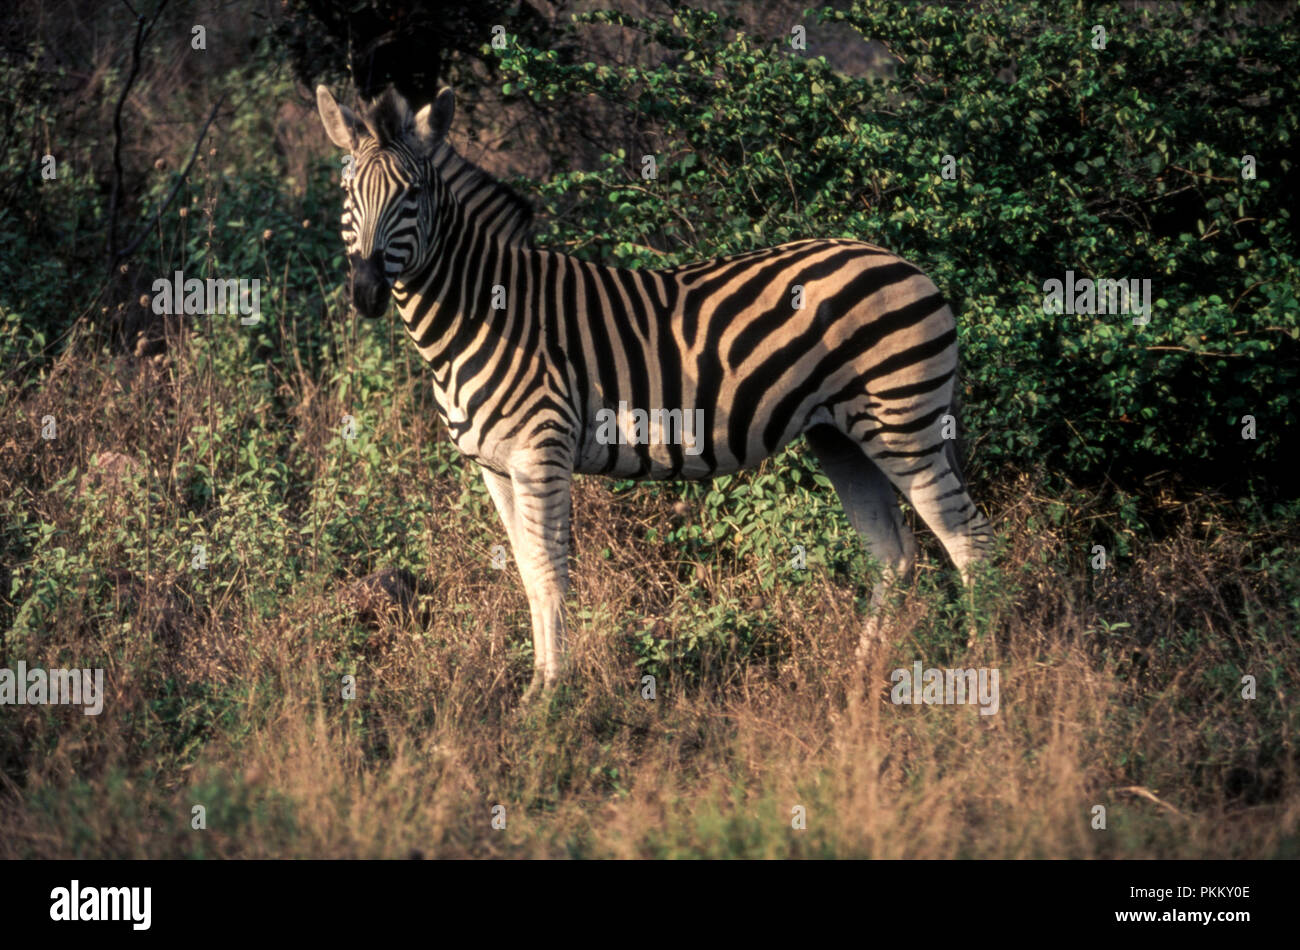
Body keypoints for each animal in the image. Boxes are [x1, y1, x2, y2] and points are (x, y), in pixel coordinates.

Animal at [316, 84, 994, 692]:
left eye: (412, 194)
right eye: (348, 194)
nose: (366, 292)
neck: (482, 311)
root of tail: (912, 267)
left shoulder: (541, 453)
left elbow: (550, 573)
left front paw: (551, 699)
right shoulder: (494, 466)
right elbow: (528, 575)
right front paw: (536, 687)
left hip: (904, 424)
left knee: (971, 544)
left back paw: (978, 678)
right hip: (841, 437)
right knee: (894, 554)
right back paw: (857, 681)